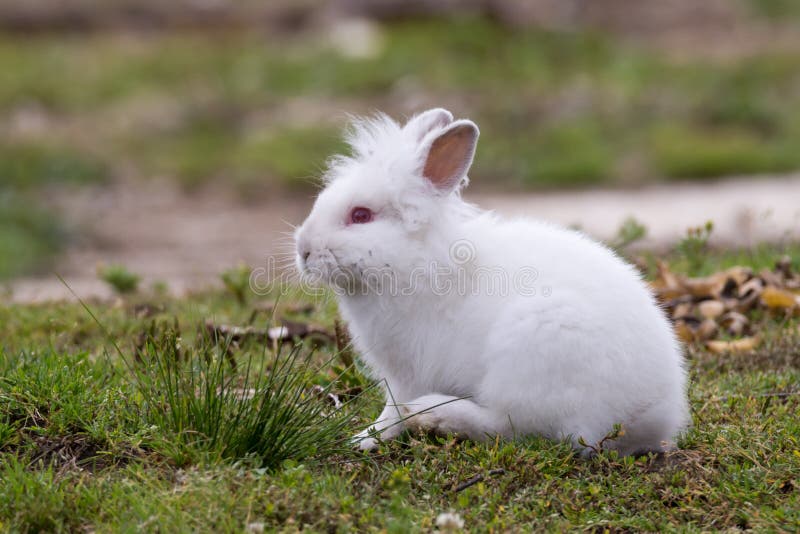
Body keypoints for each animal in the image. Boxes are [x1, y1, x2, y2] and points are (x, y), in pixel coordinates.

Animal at [294, 108, 690, 456]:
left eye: (361, 215)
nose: (304, 250)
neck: (413, 261)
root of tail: (649, 416)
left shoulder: (406, 373)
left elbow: (393, 411)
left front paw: (366, 438)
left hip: (529, 360)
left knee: (514, 427)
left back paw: (437, 415)